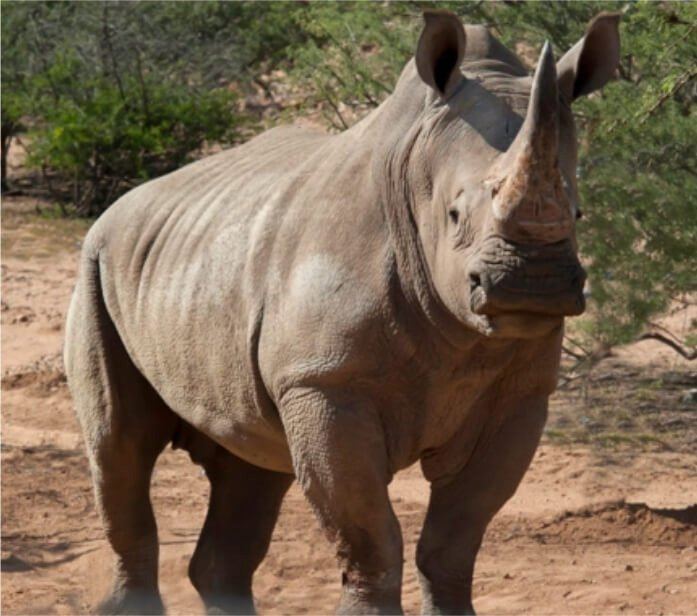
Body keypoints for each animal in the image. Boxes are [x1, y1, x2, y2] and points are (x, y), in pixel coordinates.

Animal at [65, 10, 620, 615]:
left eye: (578, 212)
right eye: (454, 216)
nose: (531, 284)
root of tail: (125, 203)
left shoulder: (518, 395)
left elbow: (456, 537)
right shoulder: (324, 382)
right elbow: (370, 533)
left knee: (250, 463)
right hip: (95, 265)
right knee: (119, 444)